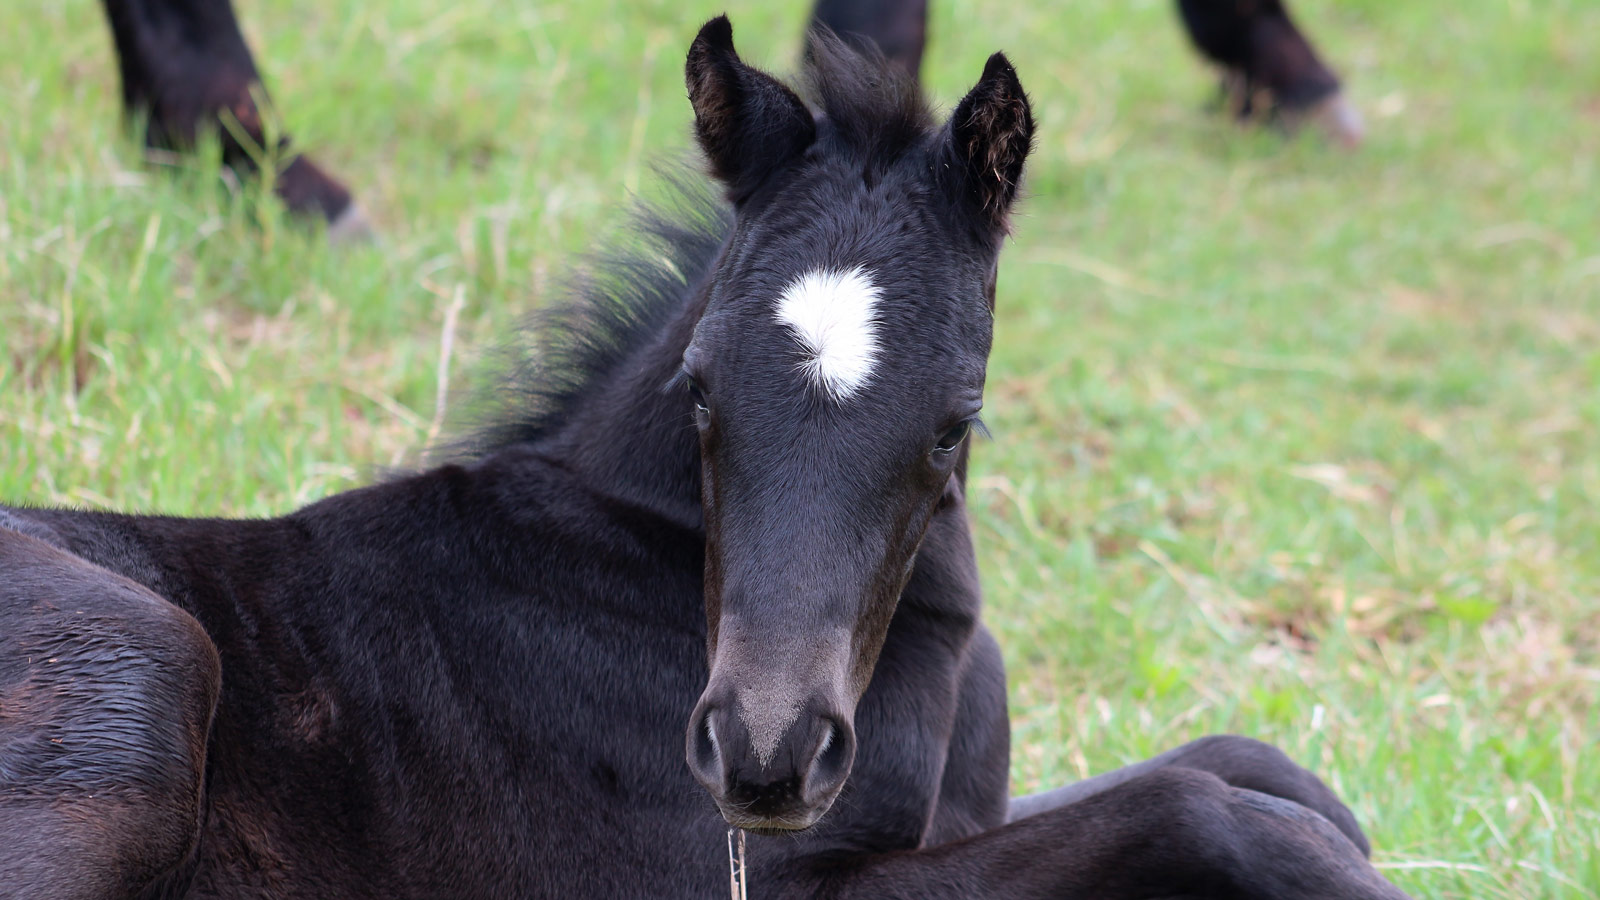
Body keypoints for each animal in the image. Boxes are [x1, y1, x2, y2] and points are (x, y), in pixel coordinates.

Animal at [1, 18, 1410, 899]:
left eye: (955, 421)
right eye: (697, 390)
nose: (763, 757)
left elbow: (1251, 767)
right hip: (138, 672)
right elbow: (1210, 812)